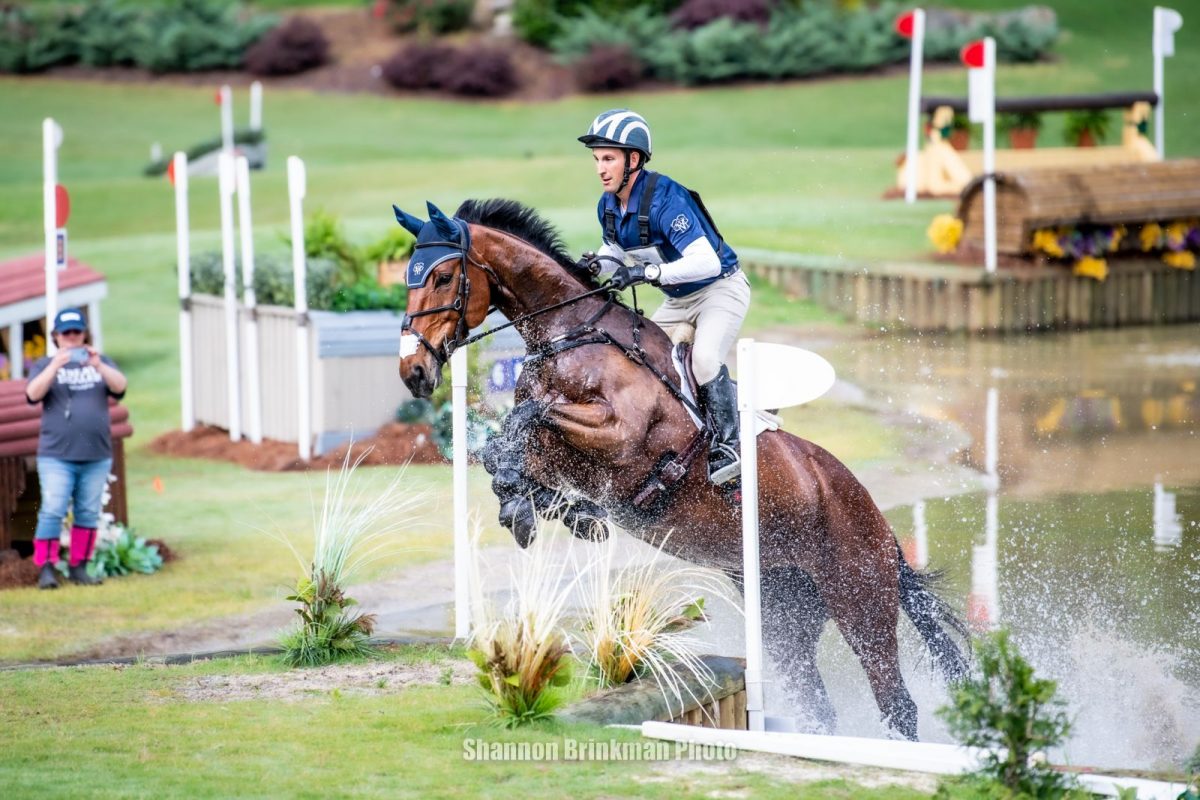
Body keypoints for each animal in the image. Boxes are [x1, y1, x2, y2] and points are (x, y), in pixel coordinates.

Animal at [394, 198, 969, 740]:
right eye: (408, 277)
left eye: (441, 277)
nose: (413, 372)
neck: (570, 336)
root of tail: (878, 519)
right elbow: (505, 447)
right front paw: (540, 509)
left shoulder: (621, 436)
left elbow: (530, 417)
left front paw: (544, 508)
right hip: (784, 612)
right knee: (817, 701)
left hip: (860, 600)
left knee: (895, 701)